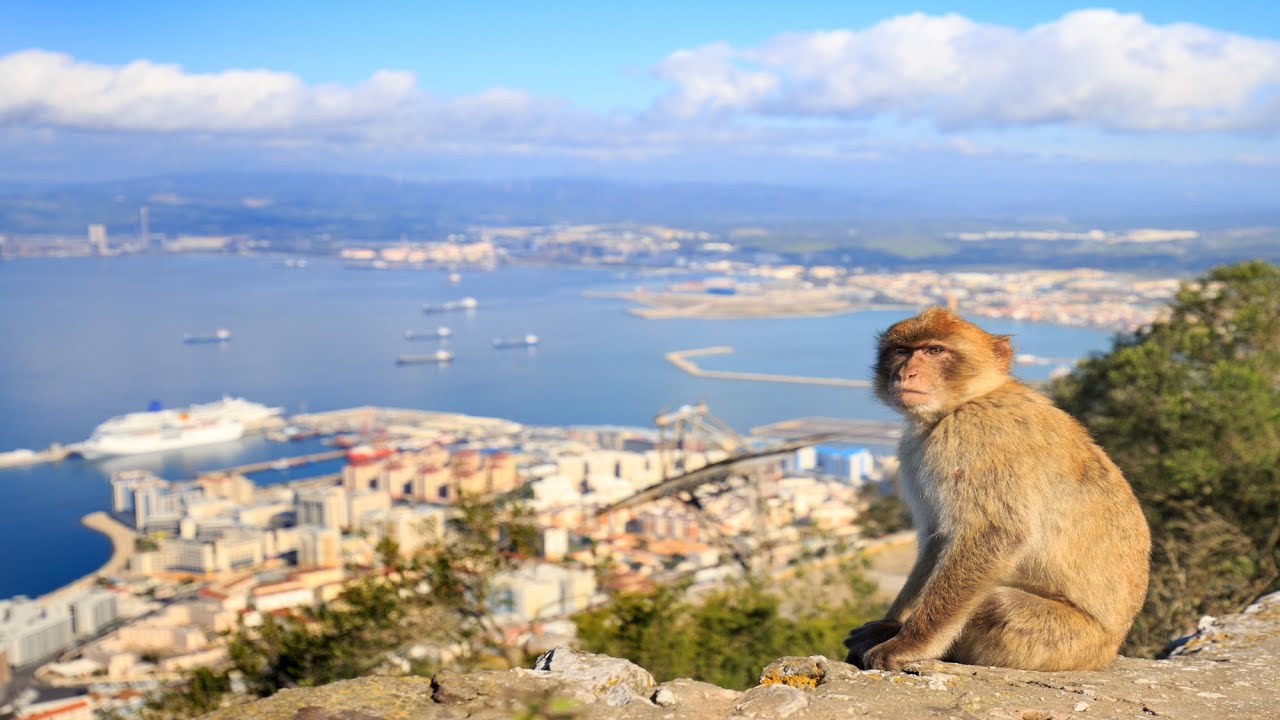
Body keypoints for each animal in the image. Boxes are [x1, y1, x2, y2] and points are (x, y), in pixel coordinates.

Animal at [843, 306, 1150, 672]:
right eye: (902, 350)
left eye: (934, 350)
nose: (906, 374)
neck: (966, 401)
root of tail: (1110, 647)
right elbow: (938, 539)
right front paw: (890, 626)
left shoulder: (976, 436)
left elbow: (994, 534)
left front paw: (909, 643)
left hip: (1068, 643)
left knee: (998, 604)